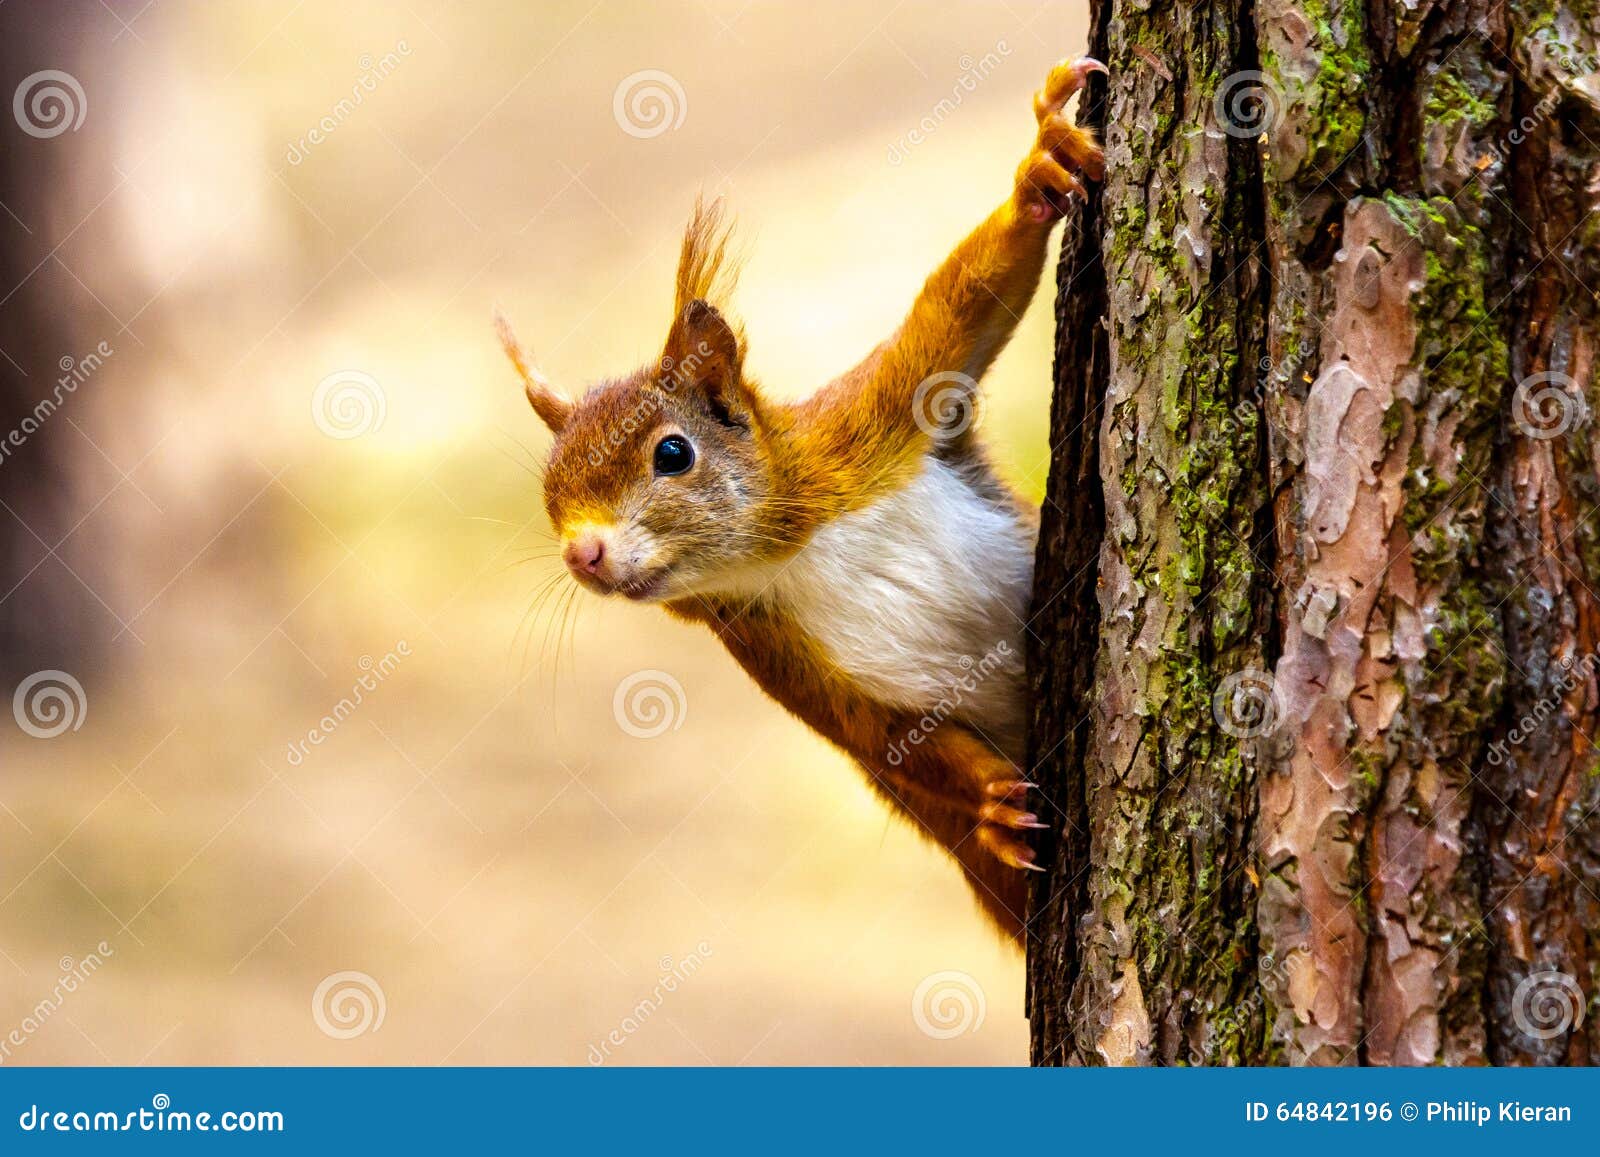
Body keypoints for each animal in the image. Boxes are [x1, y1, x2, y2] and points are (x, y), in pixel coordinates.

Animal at [496, 58, 1105, 940]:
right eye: (549, 499)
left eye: (672, 453)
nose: (583, 553)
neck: (788, 551)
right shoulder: (784, 659)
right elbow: (891, 740)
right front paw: (995, 802)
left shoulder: (871, 424)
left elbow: (963, 306)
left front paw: (1042, 168)